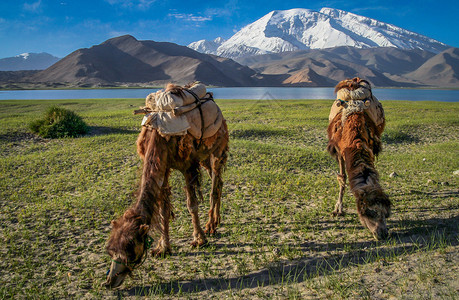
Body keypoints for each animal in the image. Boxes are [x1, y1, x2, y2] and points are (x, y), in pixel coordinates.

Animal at [103, 83, 228, 290]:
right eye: (110, 250)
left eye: (131, 250)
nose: (110, 281)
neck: (159, 138)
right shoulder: (164, 167)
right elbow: (163, 210)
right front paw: (163, 248)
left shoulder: (188, 166)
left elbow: (191, 205)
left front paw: (199, 239)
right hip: (204, 158)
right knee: (218, 183)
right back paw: (216, 221)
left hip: (218, 148)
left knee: (215, 186)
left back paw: (211, 226)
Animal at [328, 78, 392, 241]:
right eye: (369, 212)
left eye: (386, 213)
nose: (383, 234)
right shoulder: (339, 150)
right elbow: (342, 178)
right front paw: (338, 209)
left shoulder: (371, 145)